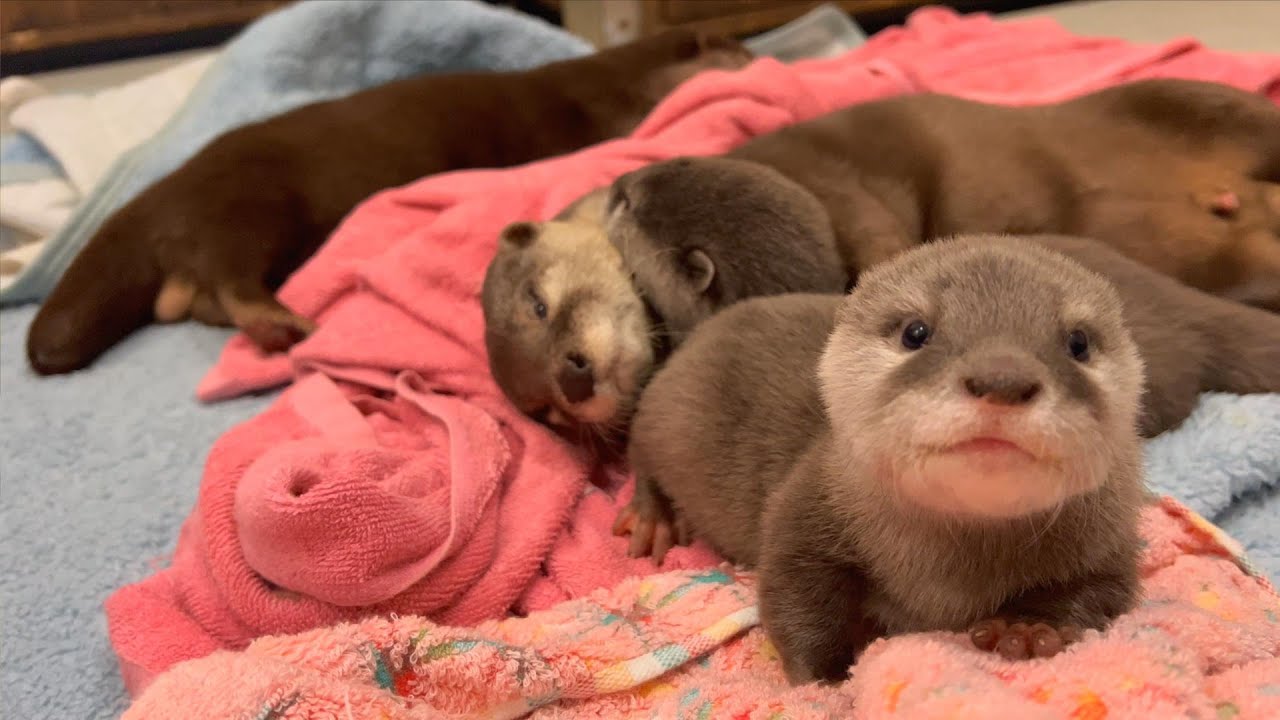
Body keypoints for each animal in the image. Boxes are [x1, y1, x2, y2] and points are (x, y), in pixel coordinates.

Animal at [27, 29, 753, 376]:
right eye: (744, 53)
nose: (753, 55)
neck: (616, 82)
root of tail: (158, 195)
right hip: (249, 204)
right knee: (228, 278)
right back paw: (284, 324)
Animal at [624, 236, 1146, 684]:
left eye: (1078, 343)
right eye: (915, 332)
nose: (1002, 378)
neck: (948, 575)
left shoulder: (1108, 539)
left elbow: (1101, 590)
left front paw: (1030, 628)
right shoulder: (804, 512)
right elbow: (795, 596)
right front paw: (824, 682)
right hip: (662, 413)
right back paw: (654, 518)